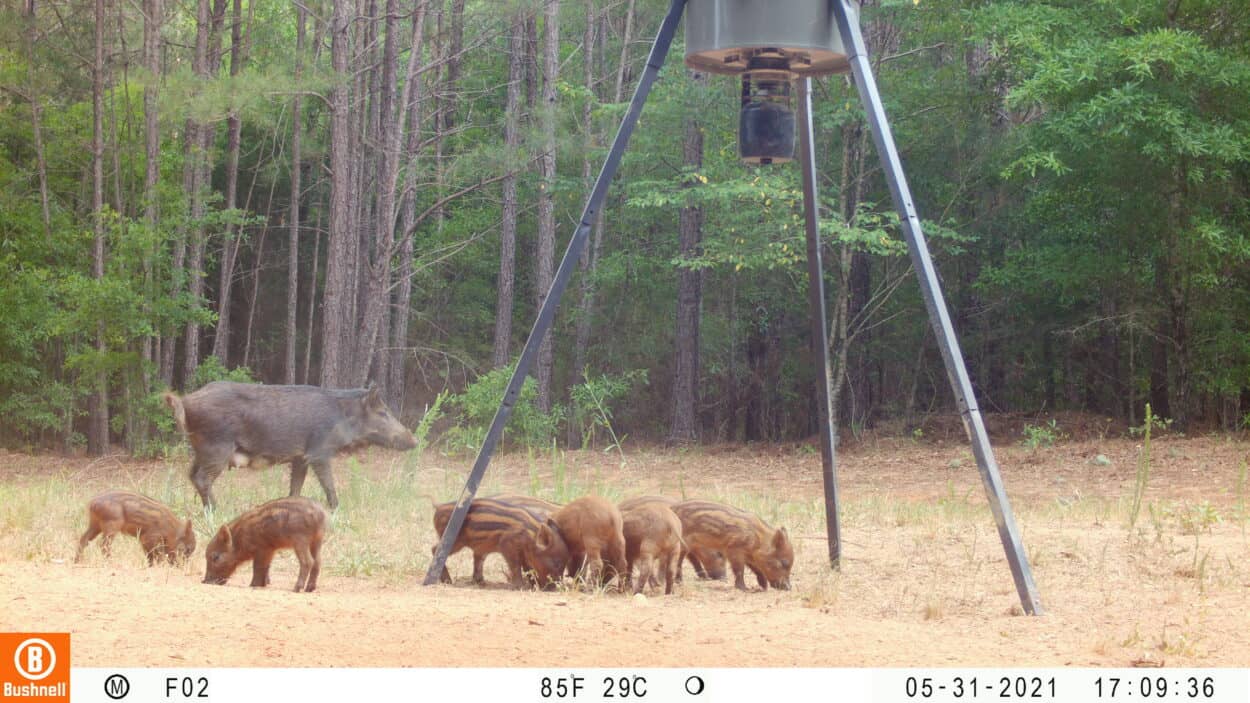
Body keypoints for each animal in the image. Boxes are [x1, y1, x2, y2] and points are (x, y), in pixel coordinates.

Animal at [164, 381, 417, 510]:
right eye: (383, 412)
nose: (414, 440)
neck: (343, 418)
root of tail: (185, 400)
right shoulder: (318, 451)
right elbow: (328, 484)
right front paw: (337, 509)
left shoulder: (300, 457)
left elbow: (296, 487)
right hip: (217, 447)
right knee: (201, 478)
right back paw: (218, 511)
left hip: (201, 450)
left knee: (191, 475)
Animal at [432, 498, 569, 589]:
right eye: (557, 563)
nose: (556, 588)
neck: (530, 534)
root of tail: (438, 507)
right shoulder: (507, 545)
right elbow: (516, 566)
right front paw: (521, 586)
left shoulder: (525, 554)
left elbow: (528, 568)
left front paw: (532, 585)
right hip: (454, 541)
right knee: (435, 549)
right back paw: (448, 581)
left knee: (478, 560)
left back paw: (481, 582)